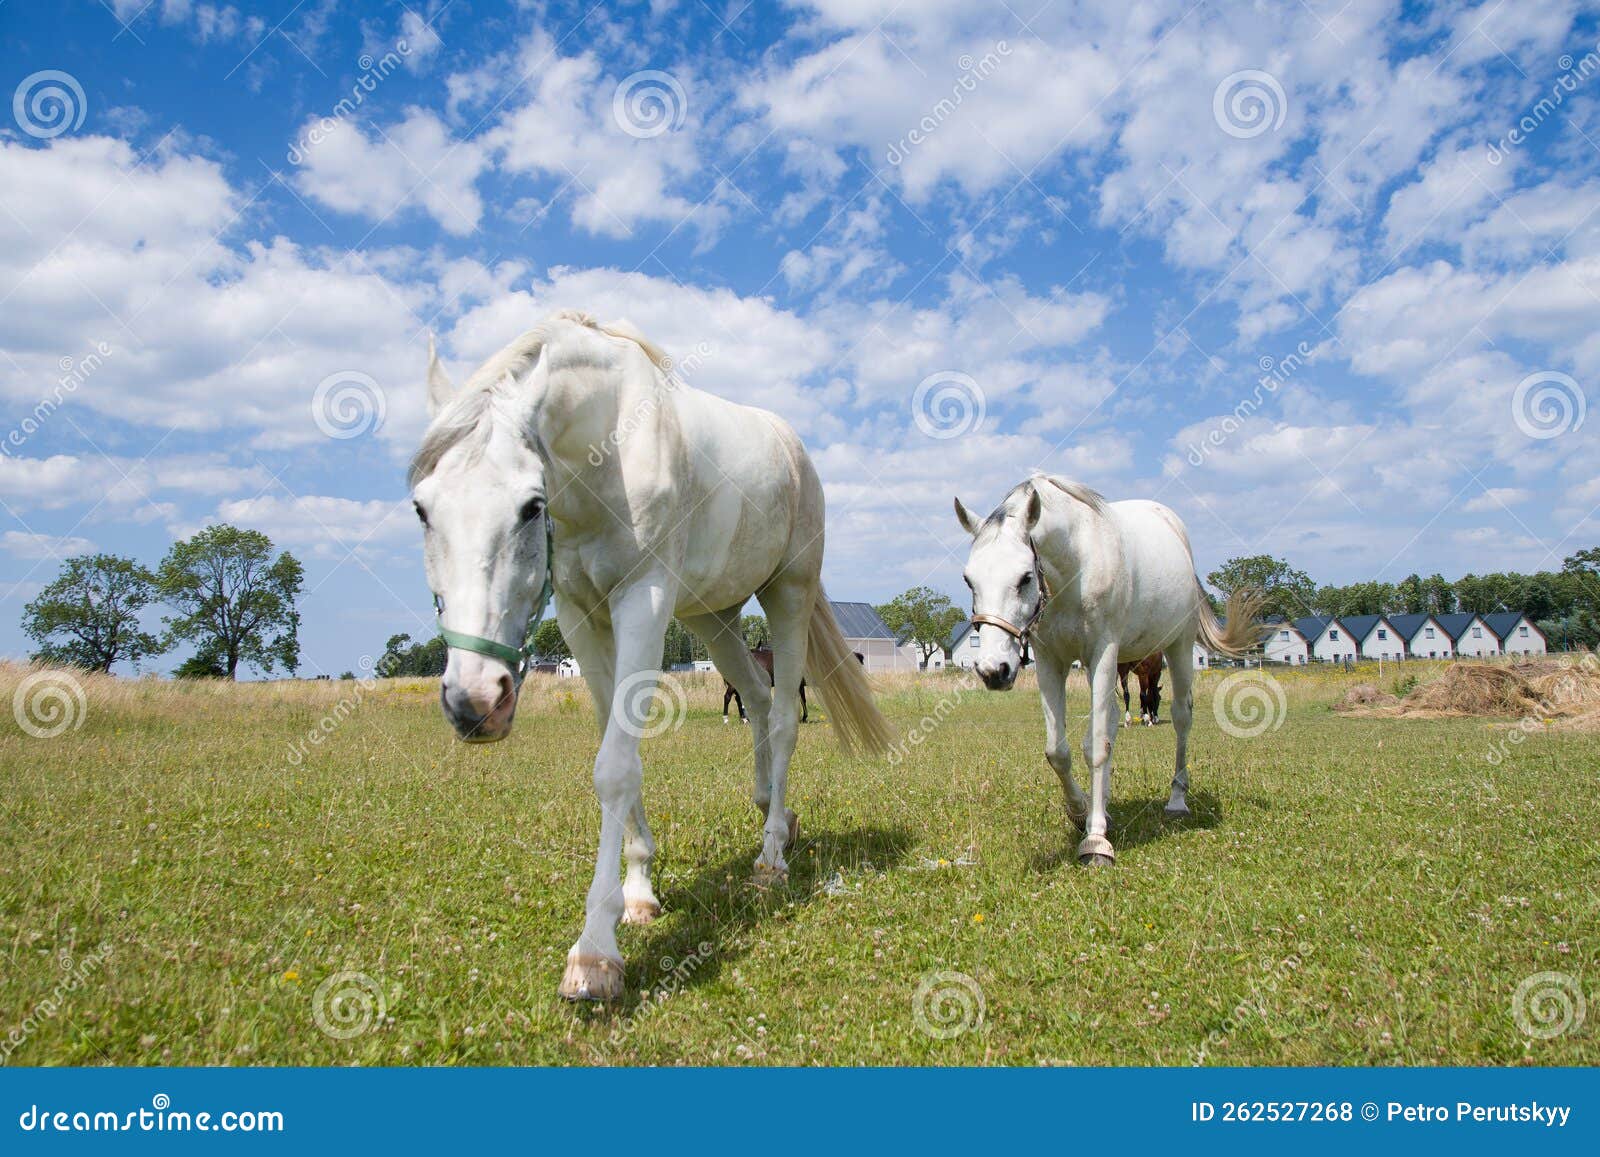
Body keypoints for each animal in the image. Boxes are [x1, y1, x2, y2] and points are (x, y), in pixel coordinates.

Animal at [410, 311, 892, 1001]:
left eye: (531, 506)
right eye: (422, 507)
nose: (476, 702)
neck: (608, 446)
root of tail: (790, 444)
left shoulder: (644, 599)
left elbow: (615, 765)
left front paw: (595, 952)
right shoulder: (580, 615)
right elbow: (615, 745)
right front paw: (638, 892)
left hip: (788, 593)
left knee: (781, 719)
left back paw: (772, 856)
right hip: (712, 616)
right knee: (756, 697)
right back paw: (776, 812)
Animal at [955, 473, 1263, 866]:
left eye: (1025, 578)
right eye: (969, 580)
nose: (994, 670)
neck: (1076, 566)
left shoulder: (1102, 652)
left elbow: (1097, 746)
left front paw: (1096, 840)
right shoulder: (1050, 660)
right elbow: (1059, 751)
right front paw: (1080, 812)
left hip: (1177, 647)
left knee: (1181, 717)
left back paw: (1176, 800)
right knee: (1115, 717)